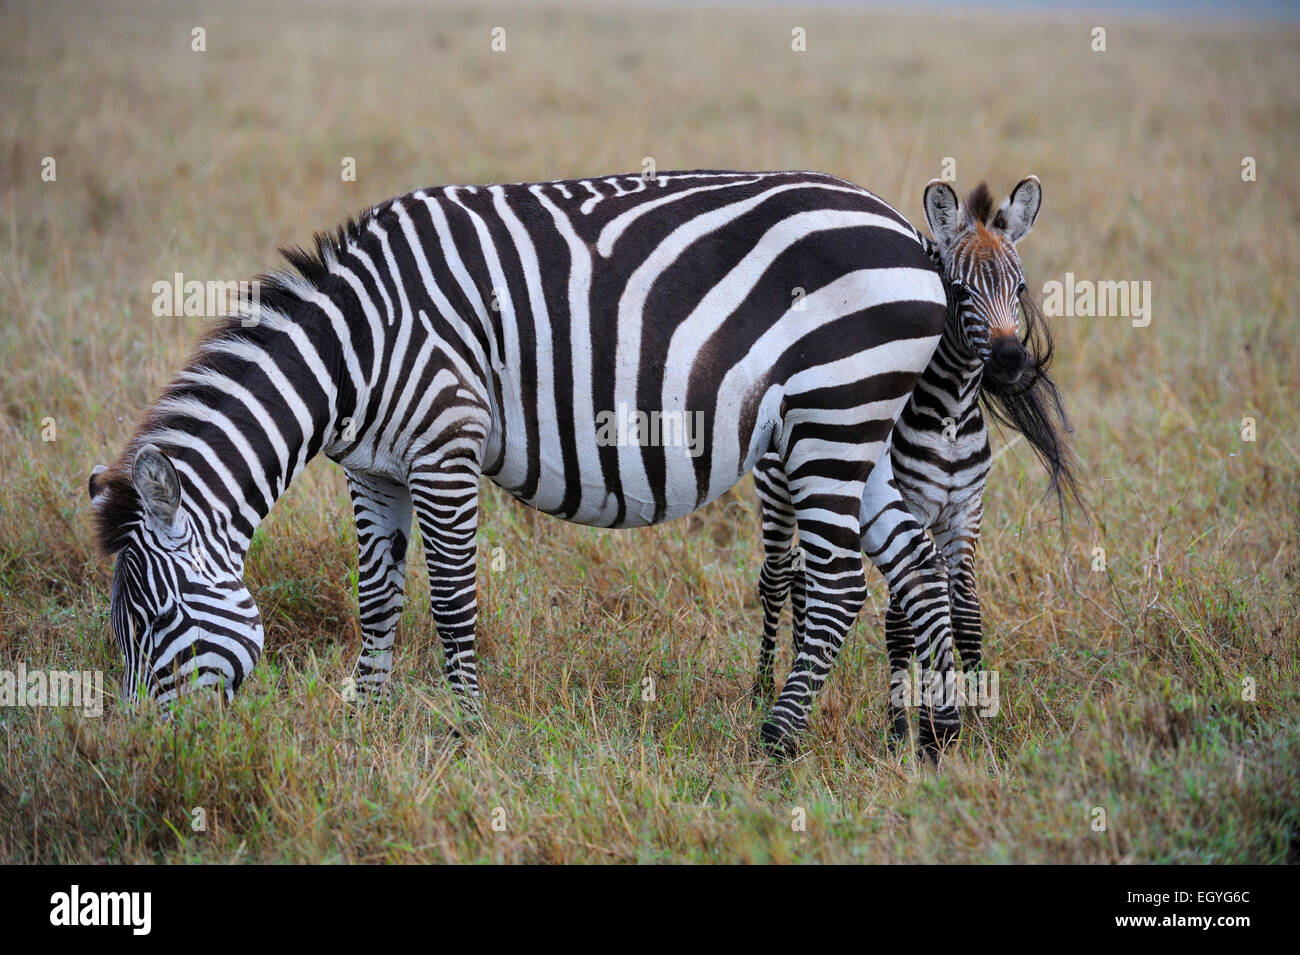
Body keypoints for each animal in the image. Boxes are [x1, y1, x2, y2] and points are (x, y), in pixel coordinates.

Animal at [88, 168, 967, 757]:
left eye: (155, 621)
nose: (141, 753)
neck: (354, 349)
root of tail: (913, 236)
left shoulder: (444, 446)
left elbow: (450, 600)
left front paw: (465, 733)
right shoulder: (373, 470)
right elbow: (377, 600)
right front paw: (364, 721)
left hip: (833, 412)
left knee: (843, 585)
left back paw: (778, 741)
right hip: (857, 424)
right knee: (917, 564)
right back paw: (934, 737)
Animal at [752, 177, 1078, 749]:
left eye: (1019, 290)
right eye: (959, 292)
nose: (1011, 361)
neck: (949, 413)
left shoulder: (965, 510)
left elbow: (964, 611)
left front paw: (978, 714)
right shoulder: (910, 503)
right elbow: (902, 624)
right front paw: (902, 725)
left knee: (802, 575)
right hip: (778, 488)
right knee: (774, 576)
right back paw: (761, 689)